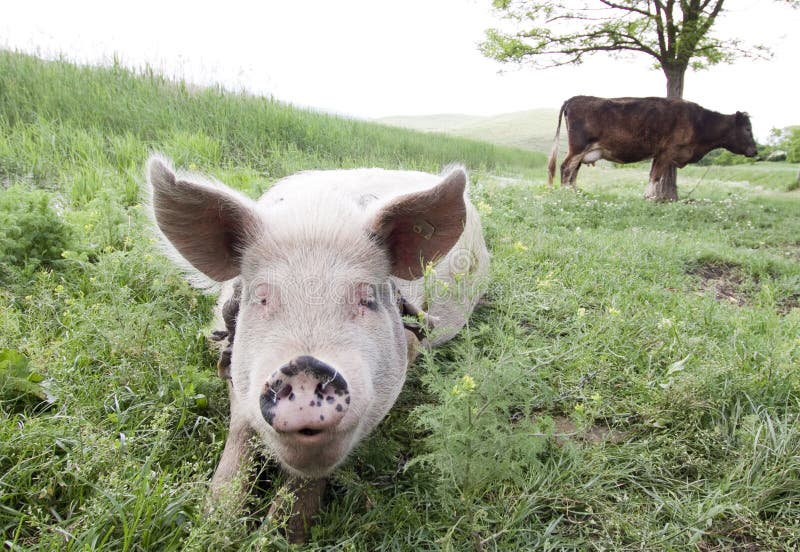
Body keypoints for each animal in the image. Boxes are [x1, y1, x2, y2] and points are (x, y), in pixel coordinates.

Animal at [146, 155, 489, 542]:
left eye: (367, 298)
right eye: (261, 297)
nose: (306, 370)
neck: (317, 217)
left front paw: (282, 536)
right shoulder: (229, 352)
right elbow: (241, 429)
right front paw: (216, 523)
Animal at [547, 96, 758, 198]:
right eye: (748, 129)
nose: (755, 151)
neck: (699, 122)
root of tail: (576, 98)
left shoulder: (660, 153)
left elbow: (654, 175)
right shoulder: (668, 150)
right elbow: (656, 176)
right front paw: (649, 198)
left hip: (584, 150)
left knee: (573, 171)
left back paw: (574, 193)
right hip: (578, 146)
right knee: (566, 167)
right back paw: (565, 193)